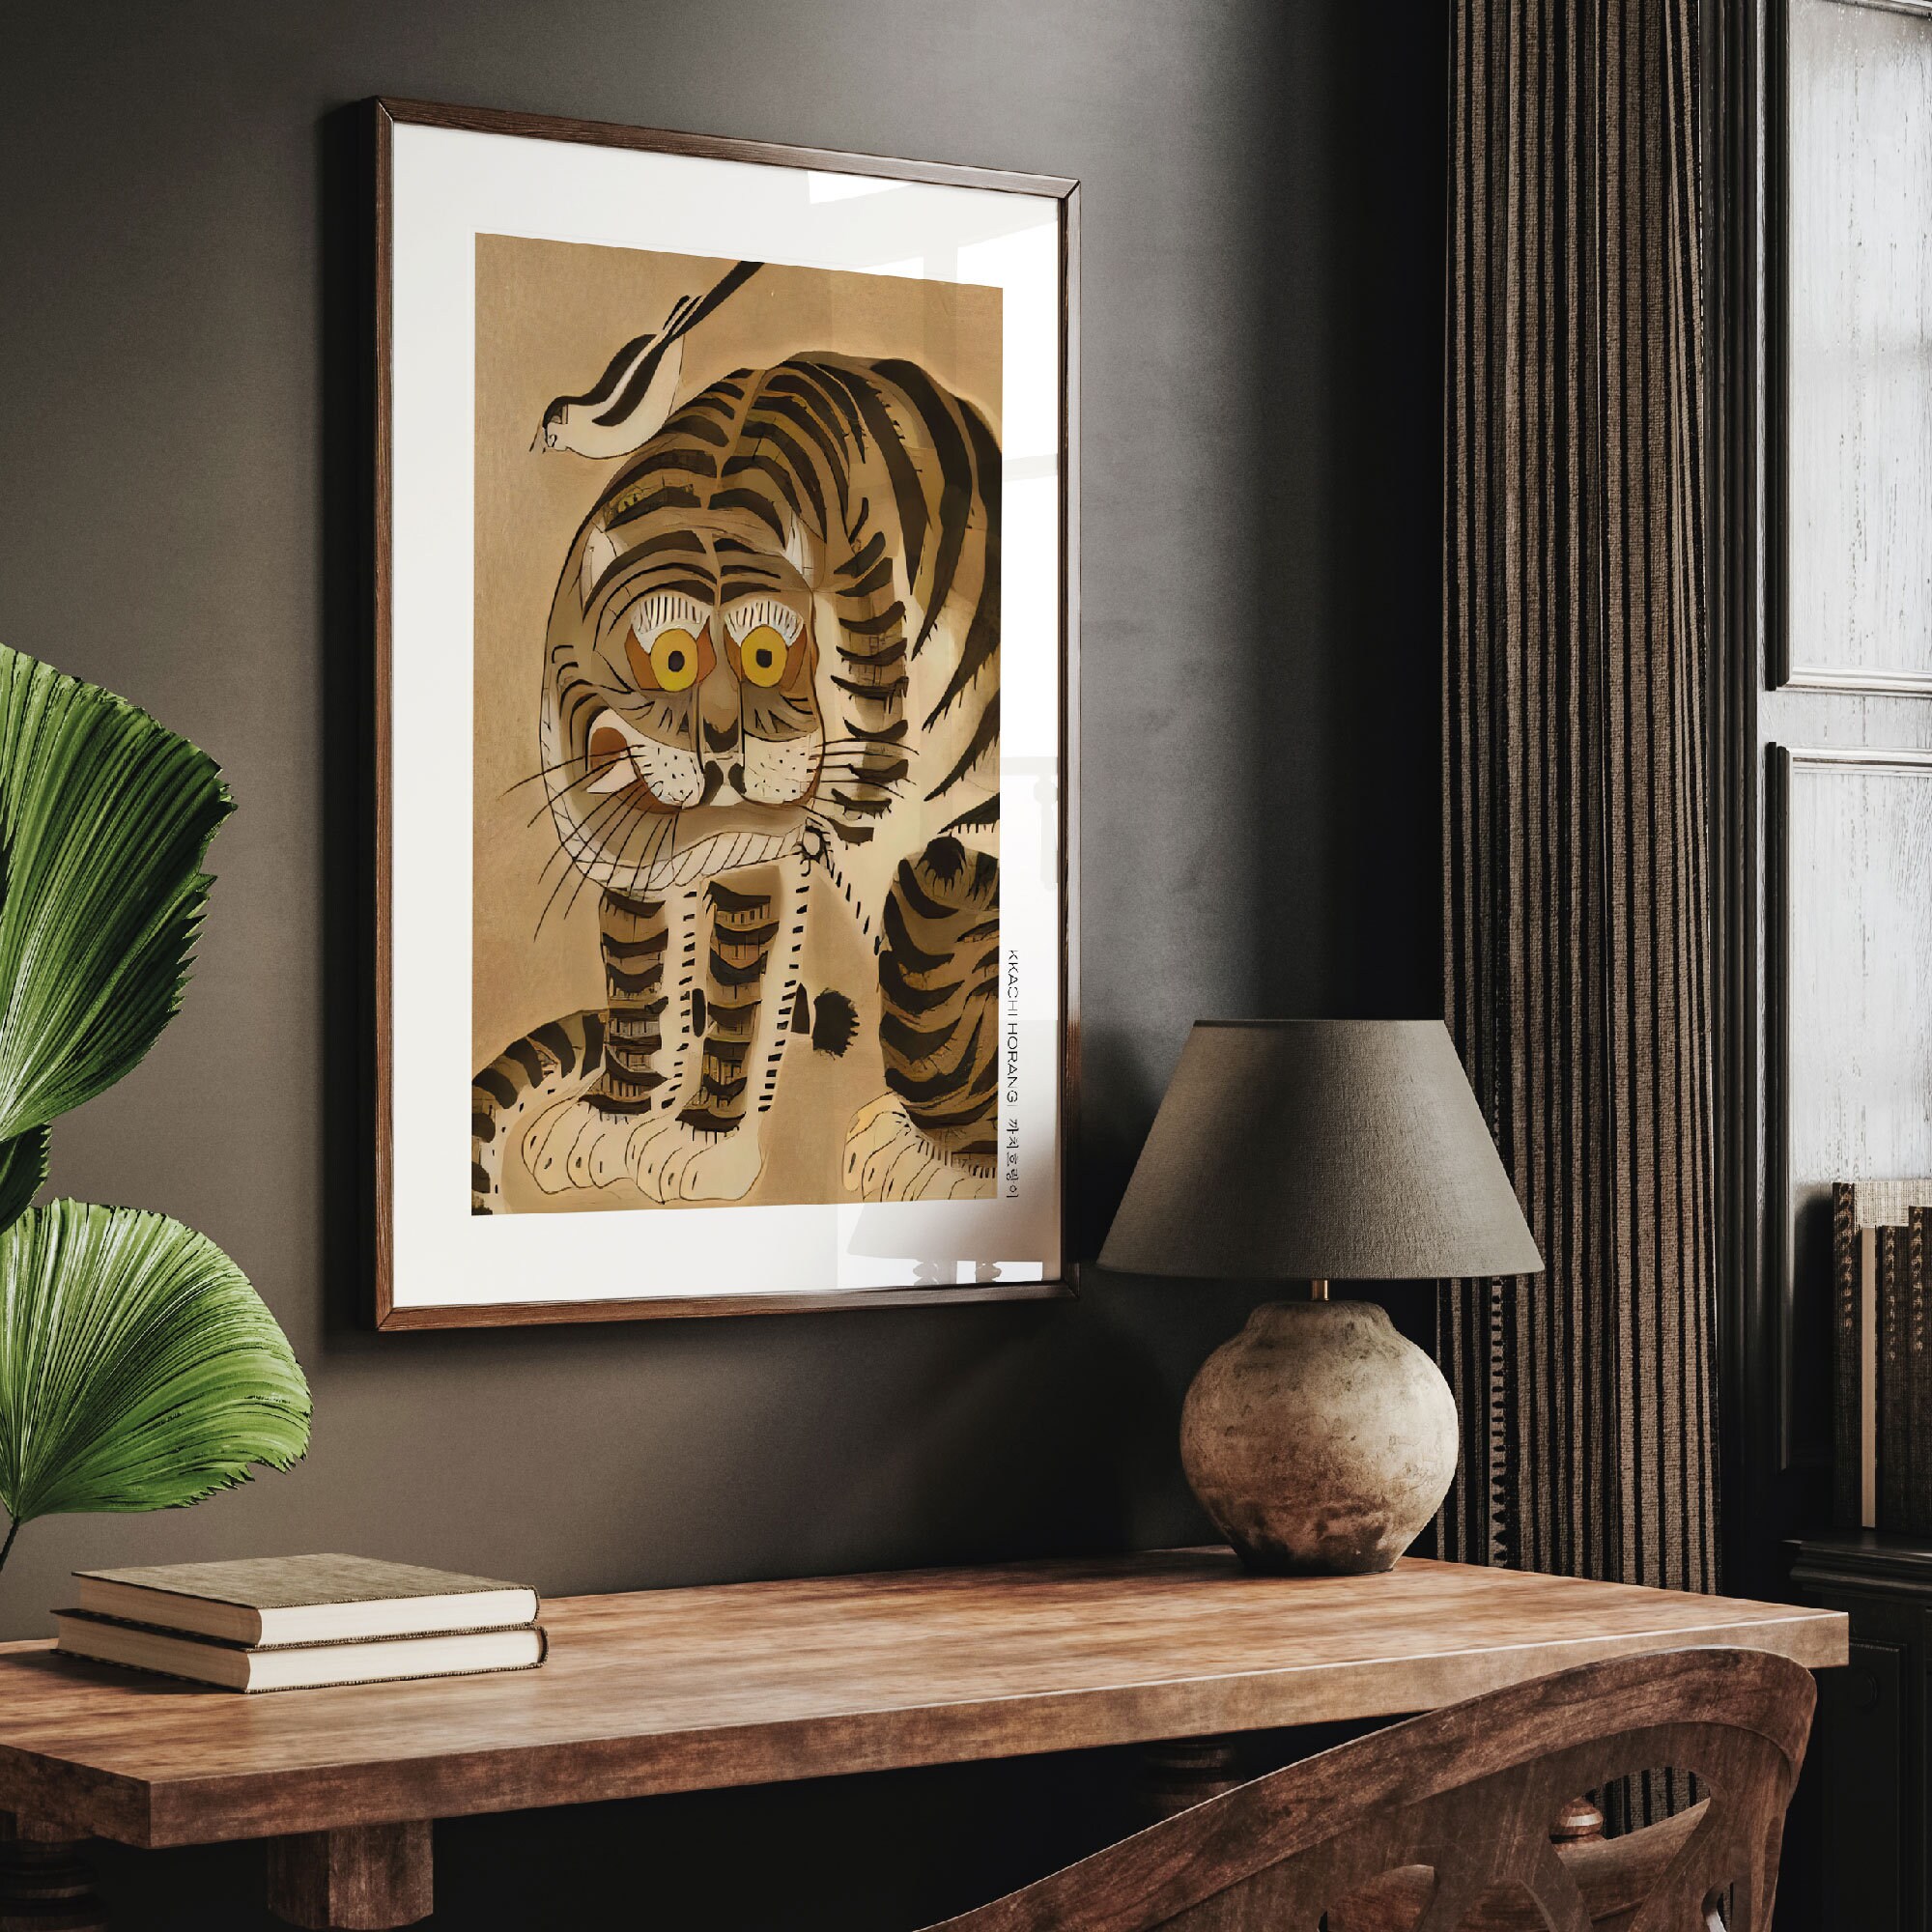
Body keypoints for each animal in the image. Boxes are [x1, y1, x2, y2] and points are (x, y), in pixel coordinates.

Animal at [470, 262, 1002, 1212]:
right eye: (674, 659)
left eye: (764, 656)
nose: (725, 748)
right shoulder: (626, 844)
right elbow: (641, 979)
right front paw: (614, 1115)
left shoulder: (778, 842)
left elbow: (737, 991)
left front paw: (701, 1141)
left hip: (944, 877)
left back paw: (920, 1158)